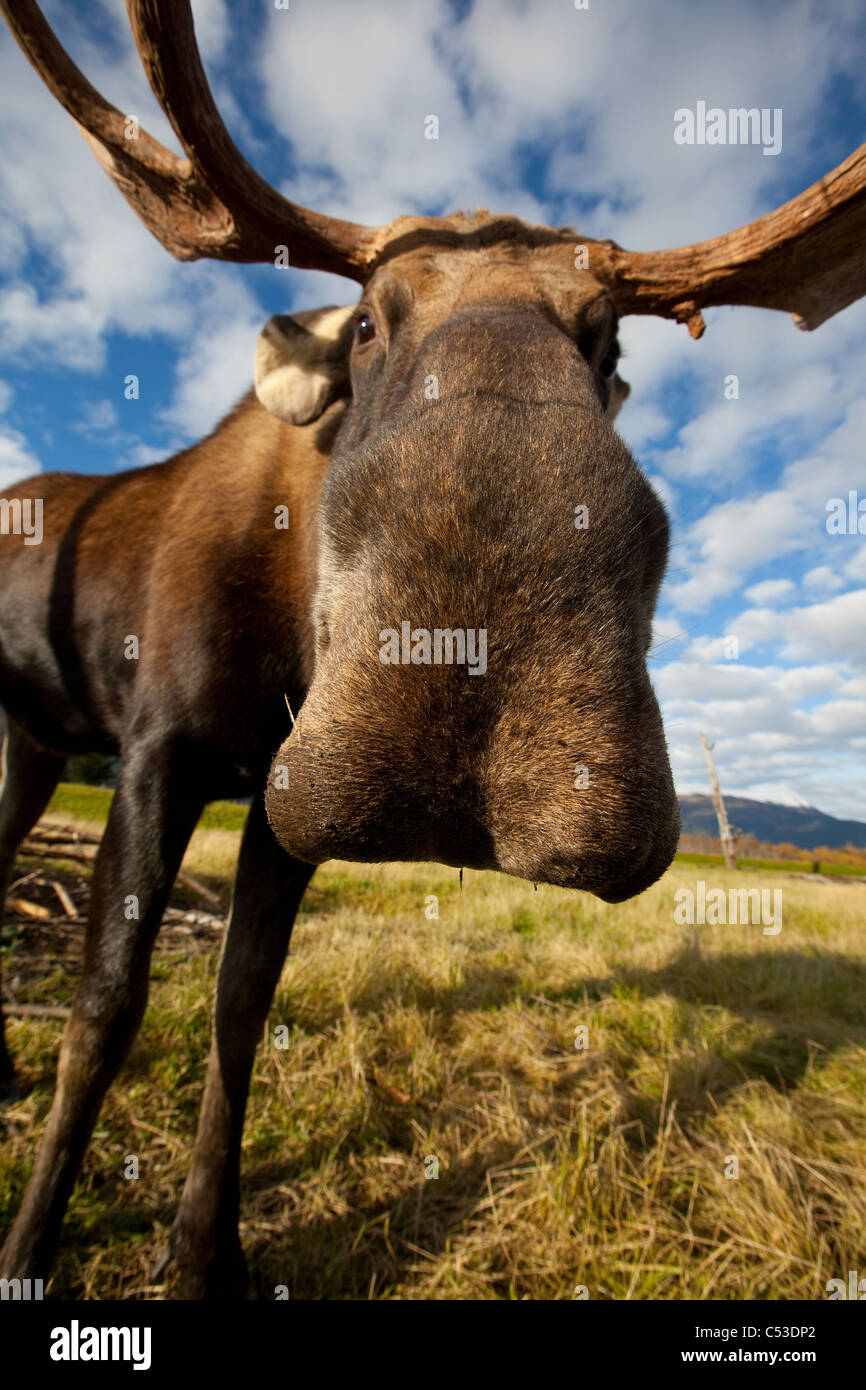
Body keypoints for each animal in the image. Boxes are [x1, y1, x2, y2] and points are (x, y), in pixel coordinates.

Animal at [0, 0, 864, 1299]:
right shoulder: (155, 753)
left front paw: (205, 1249)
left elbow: (242, 1005)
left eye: (609, 348)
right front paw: (30, 1244)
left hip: (34, 744)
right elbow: (106, 1007)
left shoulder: (271, 808)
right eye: (365, 319)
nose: (480, 644)